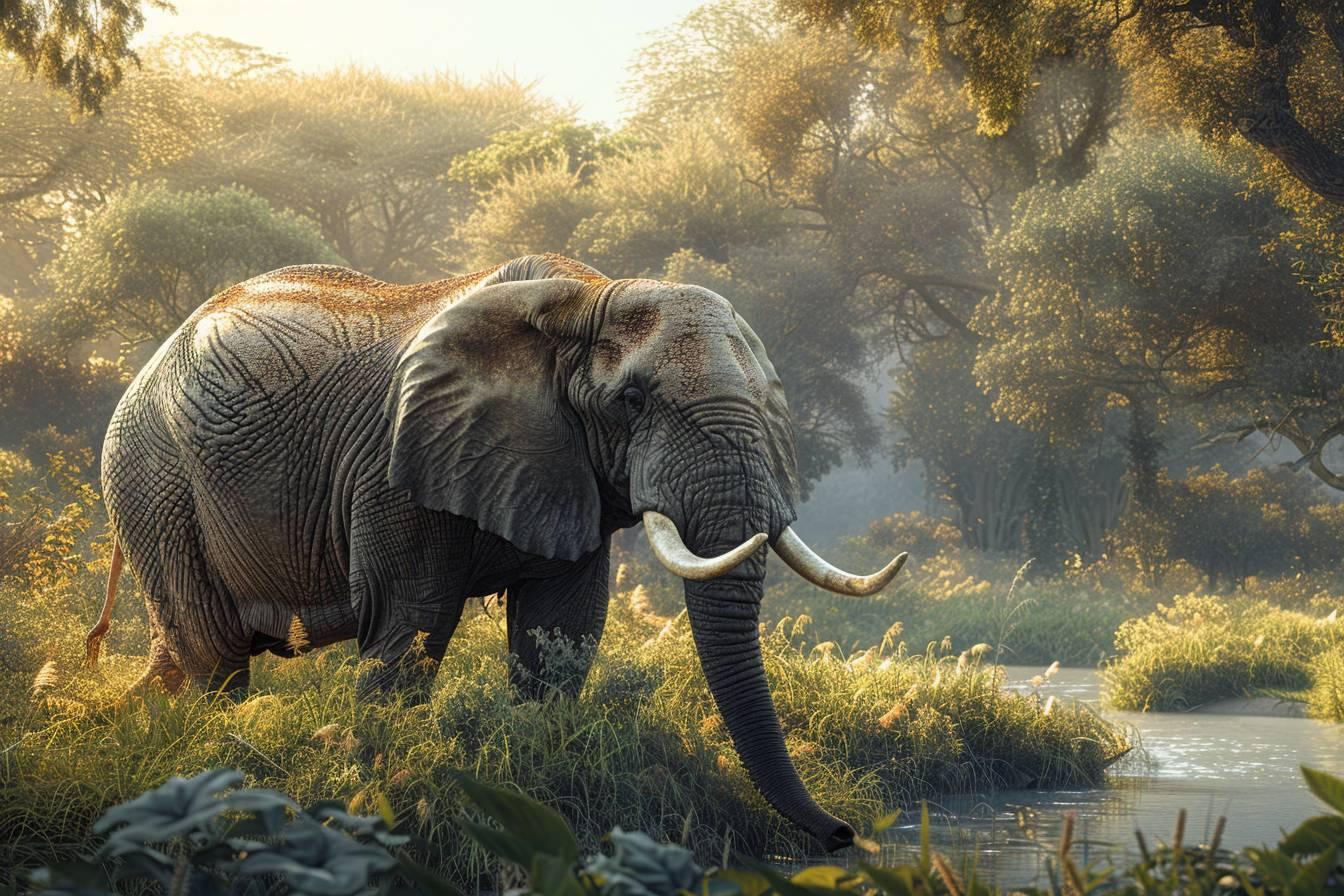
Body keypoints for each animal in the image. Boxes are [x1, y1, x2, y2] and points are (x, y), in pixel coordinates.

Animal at [83, 253, 908, 851]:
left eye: (771, 401)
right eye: (632, 401)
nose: (843, 834)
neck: (584, 297)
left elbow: (562, 627)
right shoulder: (394, 467)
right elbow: (409, 623)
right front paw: (388, 780)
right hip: (153, 479)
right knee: (214, 654)